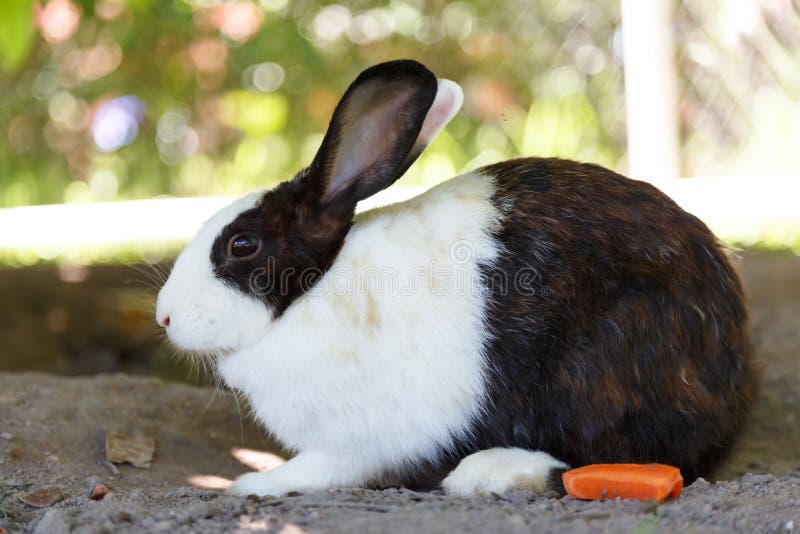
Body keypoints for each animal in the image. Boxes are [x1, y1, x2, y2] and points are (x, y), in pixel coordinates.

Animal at [156, 59, 757, 497]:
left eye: (242, 245)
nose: (164, 317)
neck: (311, 293)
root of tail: (731, 367)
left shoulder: (352, 443)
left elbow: (323, 468)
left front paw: (251, 484)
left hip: (601, 365)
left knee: (631, 458)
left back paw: (491, 471)